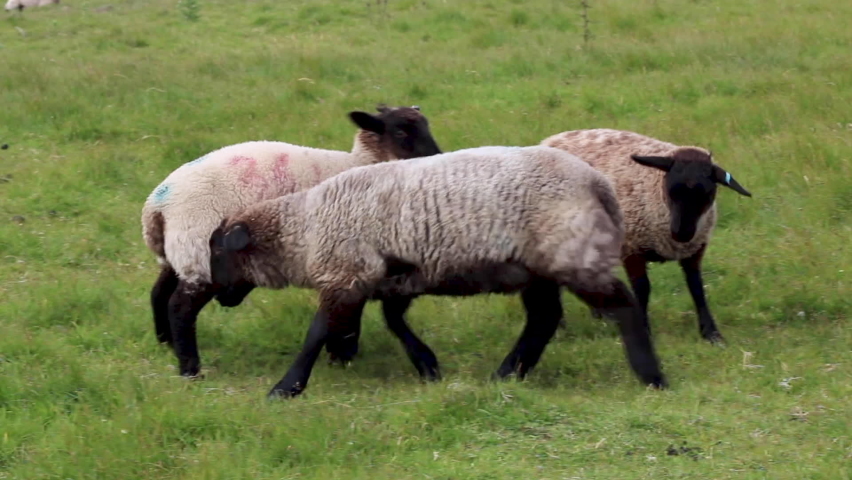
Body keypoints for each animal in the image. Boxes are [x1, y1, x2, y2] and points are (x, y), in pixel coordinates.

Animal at [141, 105, 442, 378]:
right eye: (401, 131)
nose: (438, 158)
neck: (360, 162)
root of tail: (157, 206)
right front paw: (342, 356)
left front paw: (341, 353)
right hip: (199, 252)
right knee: (180, 308)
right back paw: (190, 369)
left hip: (179, 251)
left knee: (158, 294)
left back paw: (166, 345)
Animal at [208, 145, 667, 398]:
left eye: (217, 252)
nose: (217, 297)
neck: (304, 228)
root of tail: (597, 184)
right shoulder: (392, 276)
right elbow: (390, 320)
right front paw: (427, 366)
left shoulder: (347, 274)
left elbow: (316, 332)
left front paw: (285, 388)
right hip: (536, 267)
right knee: (543, 318)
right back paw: (507, 375)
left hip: (571, 253)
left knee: (622, 306)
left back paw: (651, 376)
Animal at [540, 129, 752, 343]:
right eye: (670, 189)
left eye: (707, 194)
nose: (681, 233)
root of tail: (553, 138)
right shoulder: (632, 247)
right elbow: (643, 289)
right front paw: (644, 330)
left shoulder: (694, 250)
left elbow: (696, 287)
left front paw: (711, 333)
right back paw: (560, 326)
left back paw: (600, 315)